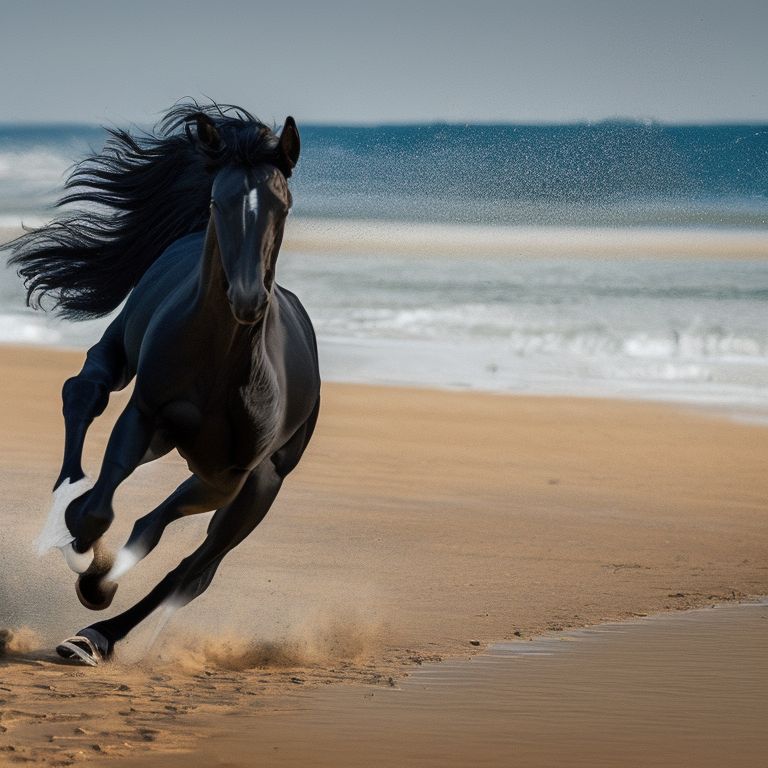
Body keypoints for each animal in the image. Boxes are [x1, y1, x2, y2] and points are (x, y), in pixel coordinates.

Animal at [5, 102, 320, 666]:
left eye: (282, 205)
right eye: (220, 201)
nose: (247, 299)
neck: (222, 367)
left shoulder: (231, 476)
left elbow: (153, 535)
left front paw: (100, 585)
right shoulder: (145, 415)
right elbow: (99, 511)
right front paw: (85, 556)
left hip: (258, 487)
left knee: (191, 573)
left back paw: (95, 635)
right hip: (126, 359)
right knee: (83, 391)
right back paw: (66, 517)